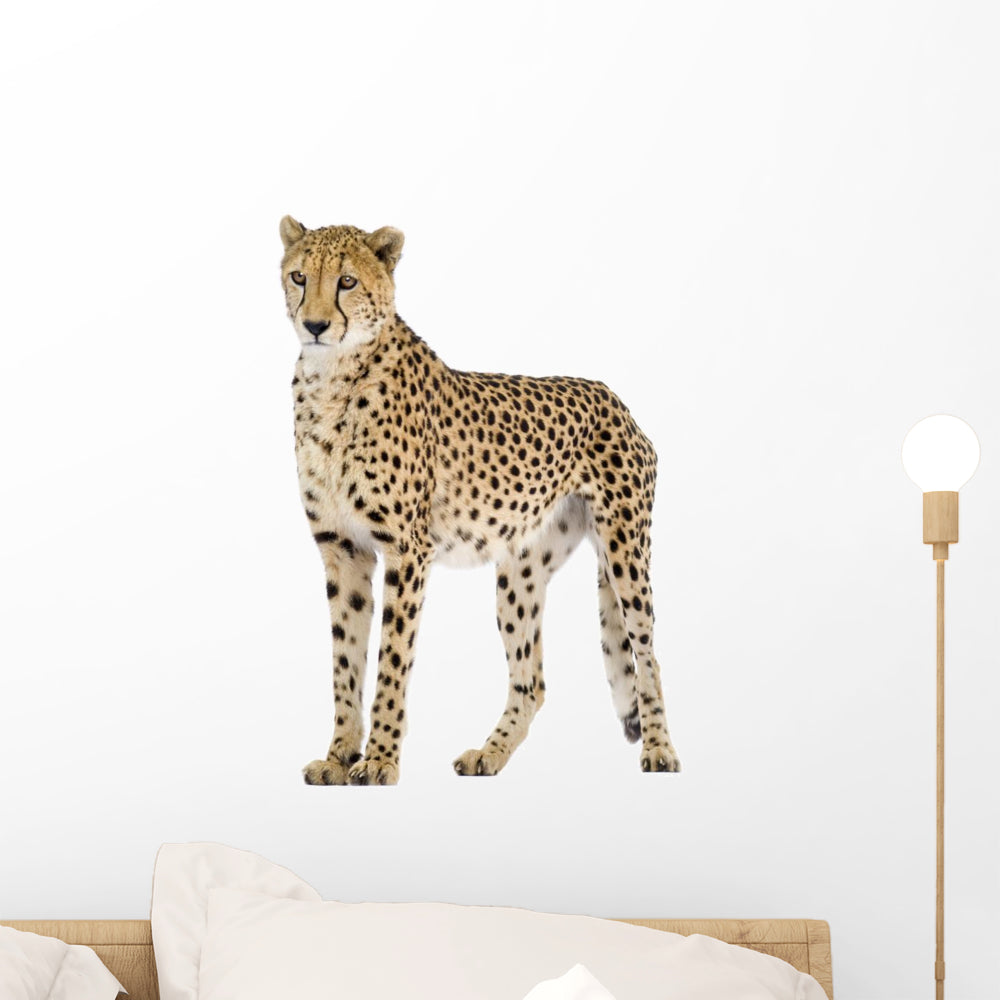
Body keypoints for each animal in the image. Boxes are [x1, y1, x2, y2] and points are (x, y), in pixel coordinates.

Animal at [280, 216, 680, 785]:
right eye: (298, 276)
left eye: (347, 282)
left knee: (646, 652)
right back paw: (488, 754)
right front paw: (339, 756)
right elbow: (345, 662)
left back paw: (660, 750)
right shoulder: (342, 550)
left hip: (626, 552)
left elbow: (391, 661)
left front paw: (379, 760)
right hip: (521, 569)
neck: (331, 376)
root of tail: (613, 397)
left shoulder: (406, 551)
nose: (314, 325)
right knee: (531, 680)